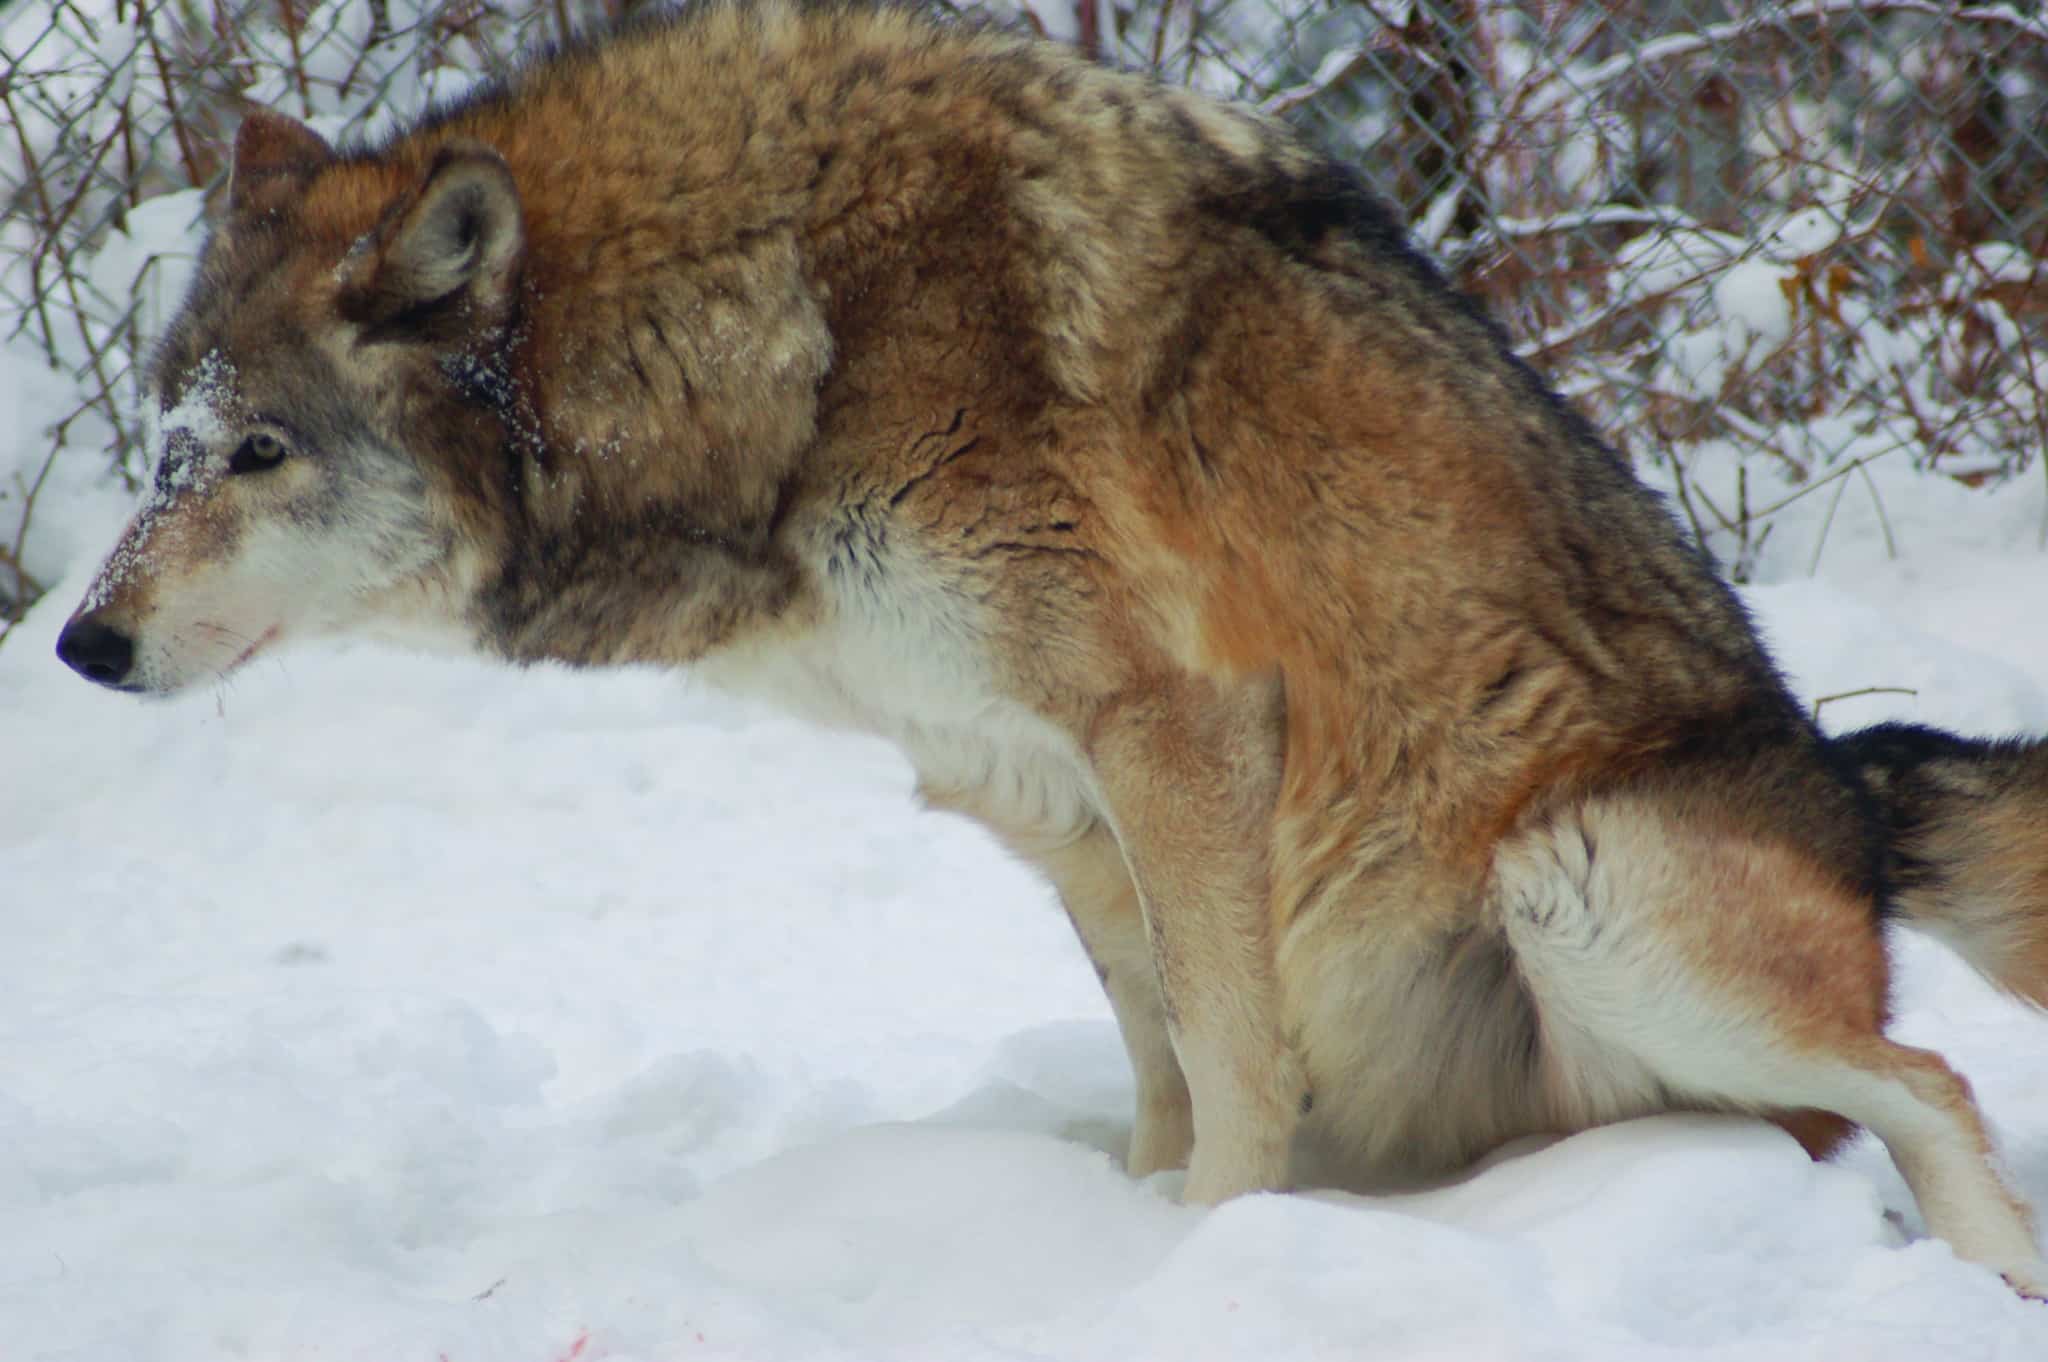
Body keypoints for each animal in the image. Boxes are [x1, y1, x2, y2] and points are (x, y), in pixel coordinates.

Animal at [54, 0, 2048, 1294]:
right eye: (163, 444)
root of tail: (1855, 801)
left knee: (1933, 1086)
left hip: (1582, 886)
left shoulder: (1177, 730)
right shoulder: (1043, 790)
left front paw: (1204, 1267)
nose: (80, 641)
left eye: (254, 454)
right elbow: (1160, 1048)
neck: (786, 330)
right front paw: (1131, 1227)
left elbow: (1233, 1063)